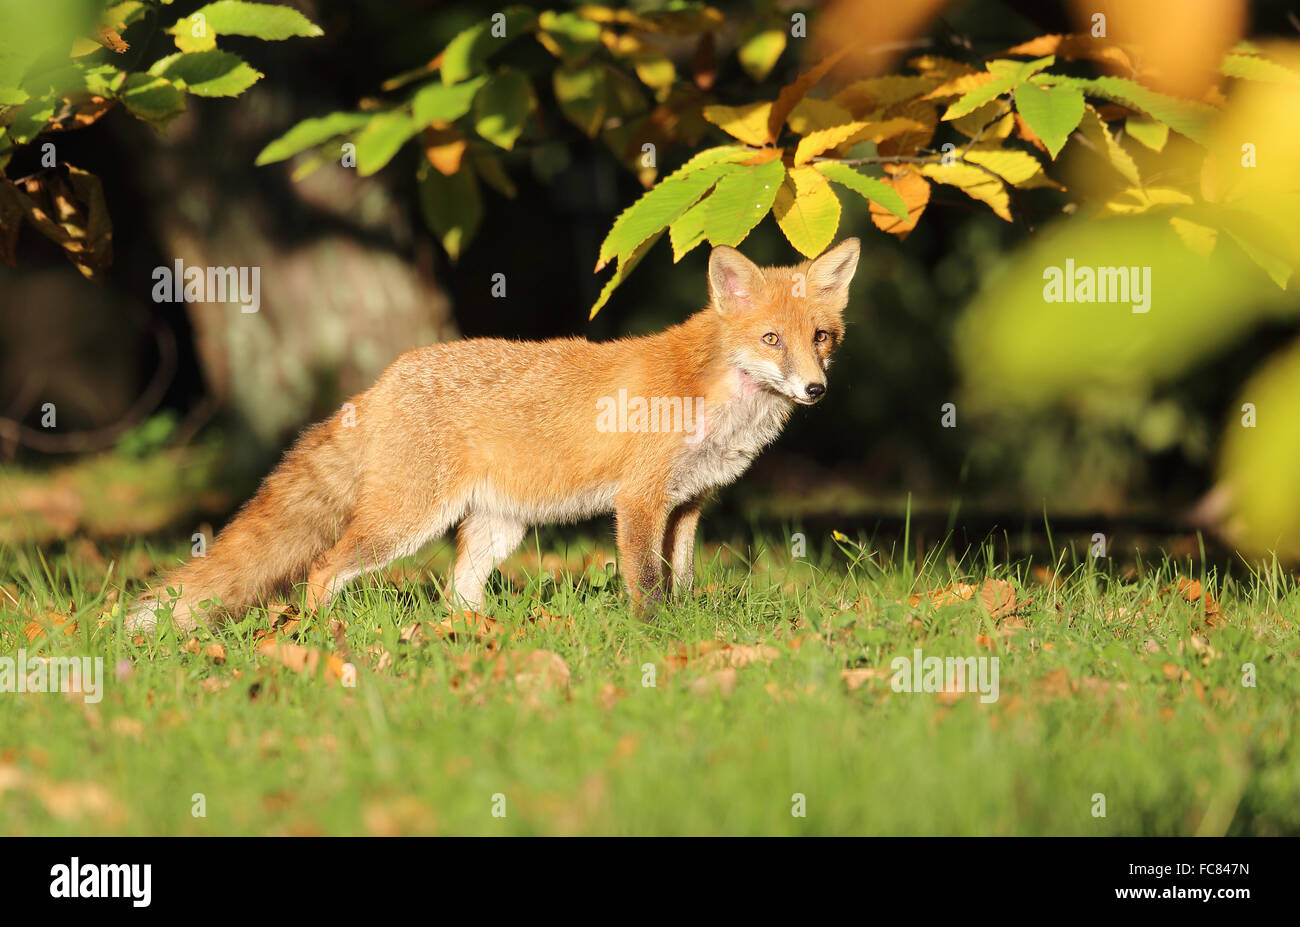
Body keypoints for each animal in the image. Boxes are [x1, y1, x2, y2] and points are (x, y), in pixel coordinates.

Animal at [125, 237, 861, 633]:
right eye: (772, 339)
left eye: (821, 338)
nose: (816, 389)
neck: (715, 395)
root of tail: (383, 380)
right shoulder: (640, 500)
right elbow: (647, 583)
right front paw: (655, 638)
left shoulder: (687, 503)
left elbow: (677, 577)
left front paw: (684, 630)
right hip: (404, 523)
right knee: (321, 568)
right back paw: (323, 635)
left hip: (497, 528)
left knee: (457, 591)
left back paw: (484, 637)